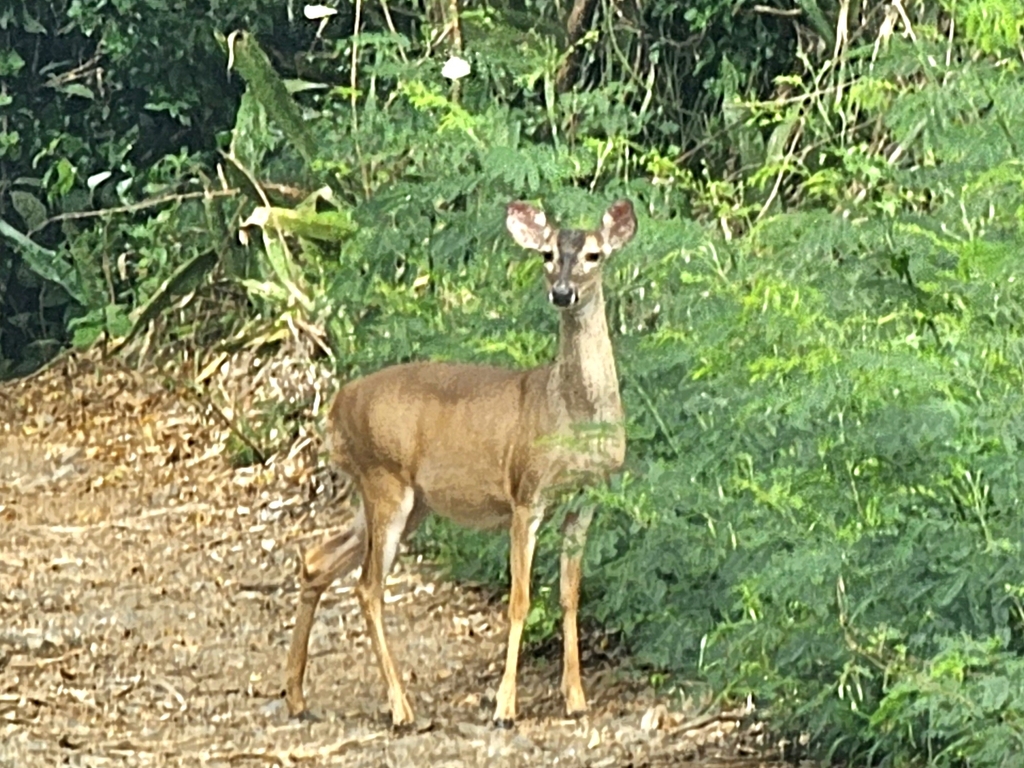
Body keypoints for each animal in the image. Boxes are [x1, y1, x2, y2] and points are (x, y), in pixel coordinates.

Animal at [283, 198, 637, 728]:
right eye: (547, 254)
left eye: (593, 254)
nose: (561, 292)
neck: (572, 415)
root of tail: (336, 406)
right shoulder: (526, 494)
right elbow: (519, 601)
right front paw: (505, 708)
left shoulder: (587, 499)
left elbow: (570, 595)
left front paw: (576, 698)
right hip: (385, 481)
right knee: (368, 588)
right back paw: (401, 708)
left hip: (402, 502)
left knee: (316, 560)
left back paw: (297, 696)